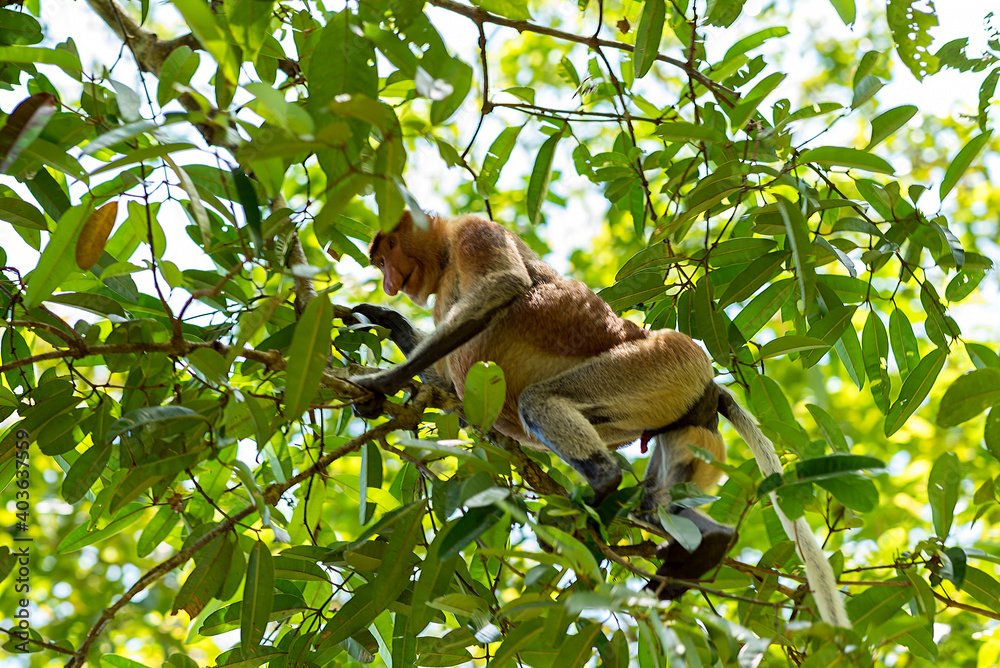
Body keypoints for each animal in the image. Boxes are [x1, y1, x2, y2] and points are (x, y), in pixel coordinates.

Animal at [352, 211, 849, 625]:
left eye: (388, 250)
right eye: (380, 260)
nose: (389, 281)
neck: (444, 259)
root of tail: (707, 380)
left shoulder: (475, 233)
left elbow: (502, 286)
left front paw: (382, 382)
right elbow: (443, 380)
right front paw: (385, 319)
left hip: (656, 364)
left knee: (540, 401)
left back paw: (602, 486)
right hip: (683, 419)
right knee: (656, 504)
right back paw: (705, 545)